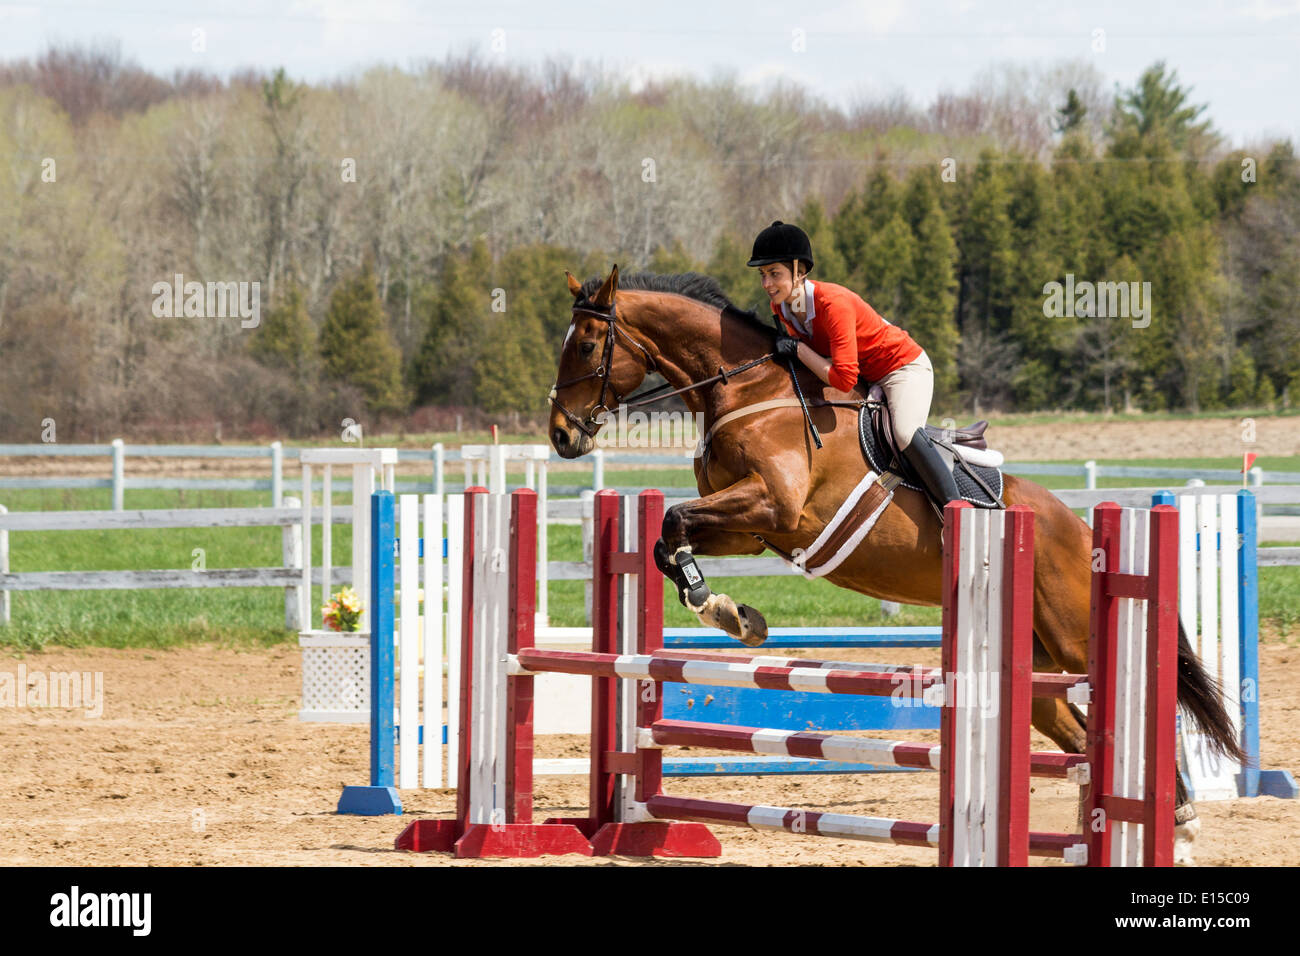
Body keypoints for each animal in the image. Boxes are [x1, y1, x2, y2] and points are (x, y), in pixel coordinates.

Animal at [548, 265, 1244, 859]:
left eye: (586, 345)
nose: (559, 435)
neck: (750, 389)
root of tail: (1080, 526)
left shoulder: (773, 506)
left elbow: (673, 520)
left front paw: (719, 608)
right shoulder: (751, 532)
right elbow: (668, 537)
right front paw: (733, 614)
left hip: (1076, 639)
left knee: (1140, 709)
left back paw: (1179, 820)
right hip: (1040, 666)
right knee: (1077, 737)